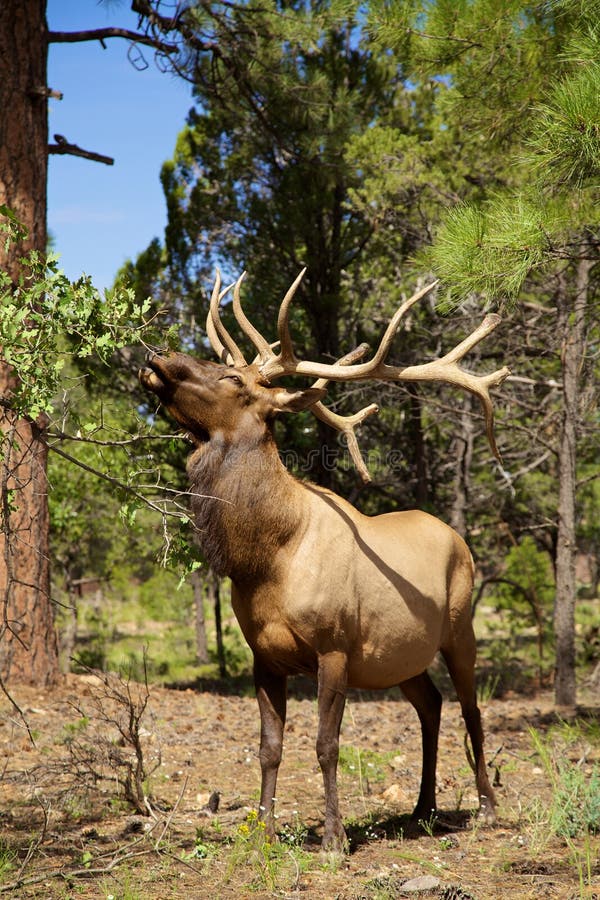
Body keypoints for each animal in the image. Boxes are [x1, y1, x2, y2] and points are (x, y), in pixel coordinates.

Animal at [139, 271, 510, 853]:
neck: (265, 560)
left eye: (233, 378)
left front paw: (335, 837)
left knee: (471, 708)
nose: (160, 355)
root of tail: (457, 537)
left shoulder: (333, 647)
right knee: (430, 704)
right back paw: (422, 807)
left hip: (460, 627)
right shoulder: (263, 657)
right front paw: (262, 831)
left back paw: (487, 807)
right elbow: (269, 747)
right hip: (398, 656)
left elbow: (325, 745)